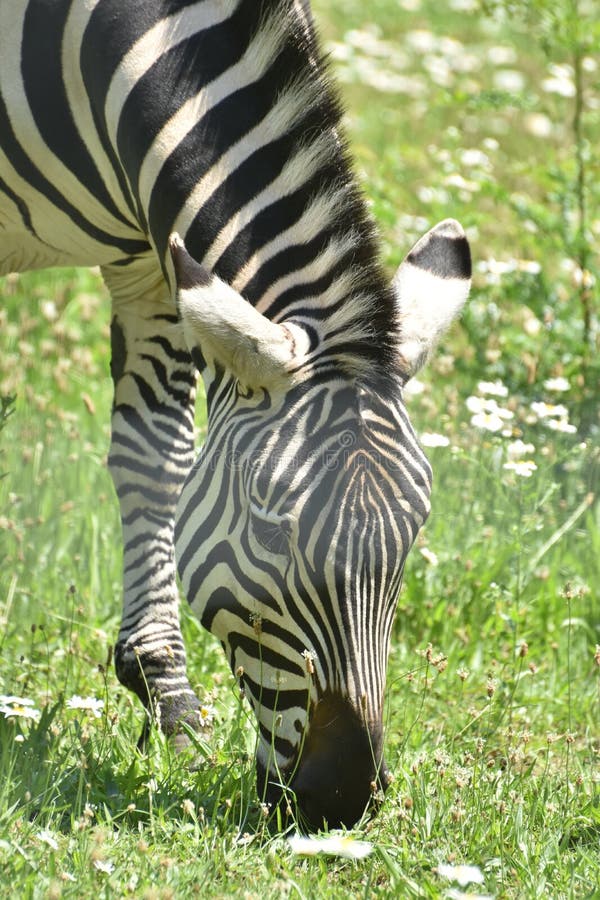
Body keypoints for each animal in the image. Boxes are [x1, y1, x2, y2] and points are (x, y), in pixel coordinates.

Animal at [0, 0, 471, 829]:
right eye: (271, 528)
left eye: (414, 535)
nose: (342, 799)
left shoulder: (151, 250)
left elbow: (155, 457)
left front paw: (169, 699)